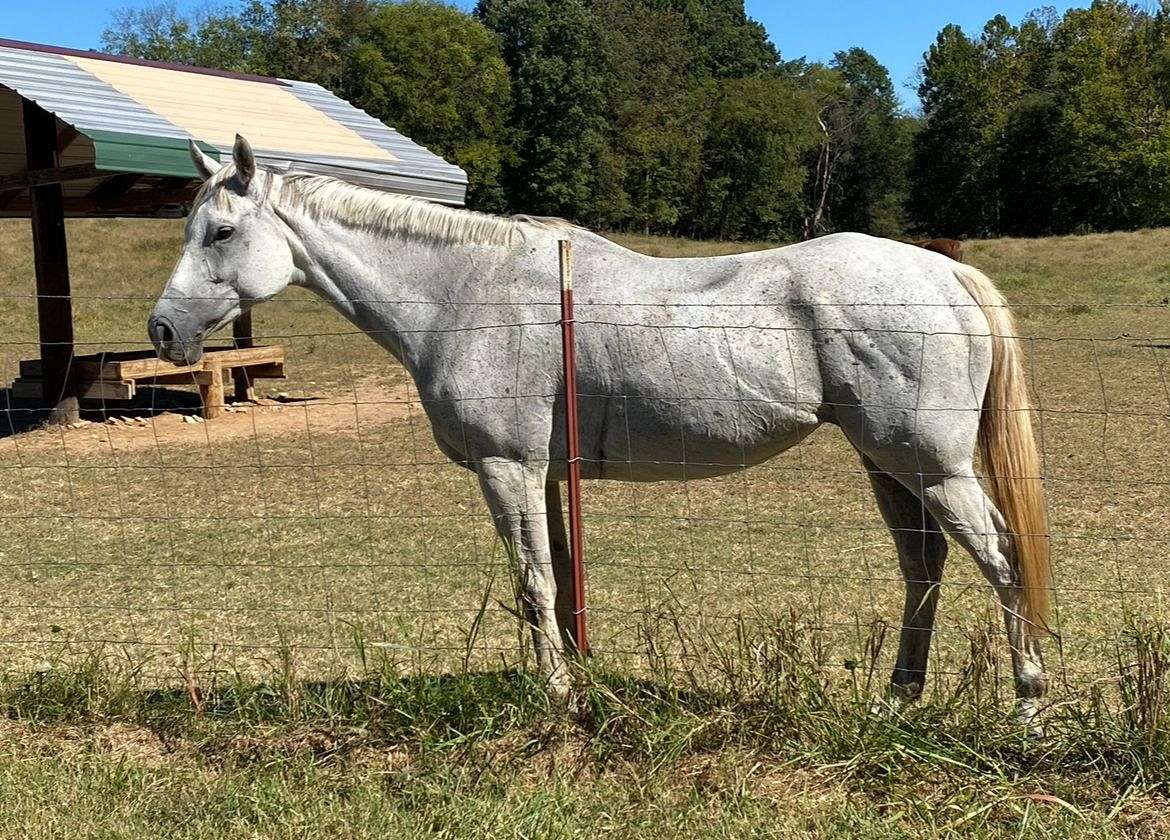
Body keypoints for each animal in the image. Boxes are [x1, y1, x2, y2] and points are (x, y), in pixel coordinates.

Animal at [148, 136, 1052, 727]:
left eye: (221, 231)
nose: (162, 330)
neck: (467, 291)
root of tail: (943, 270)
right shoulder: (547, 474)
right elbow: (565, 579)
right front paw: (582, 688)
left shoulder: (507, 468)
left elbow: (534, 584)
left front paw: (553, 700)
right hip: (886, 463)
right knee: (924, 568)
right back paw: (895, 703)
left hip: (931, 466)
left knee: (1003, 563)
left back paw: (1027, 708)